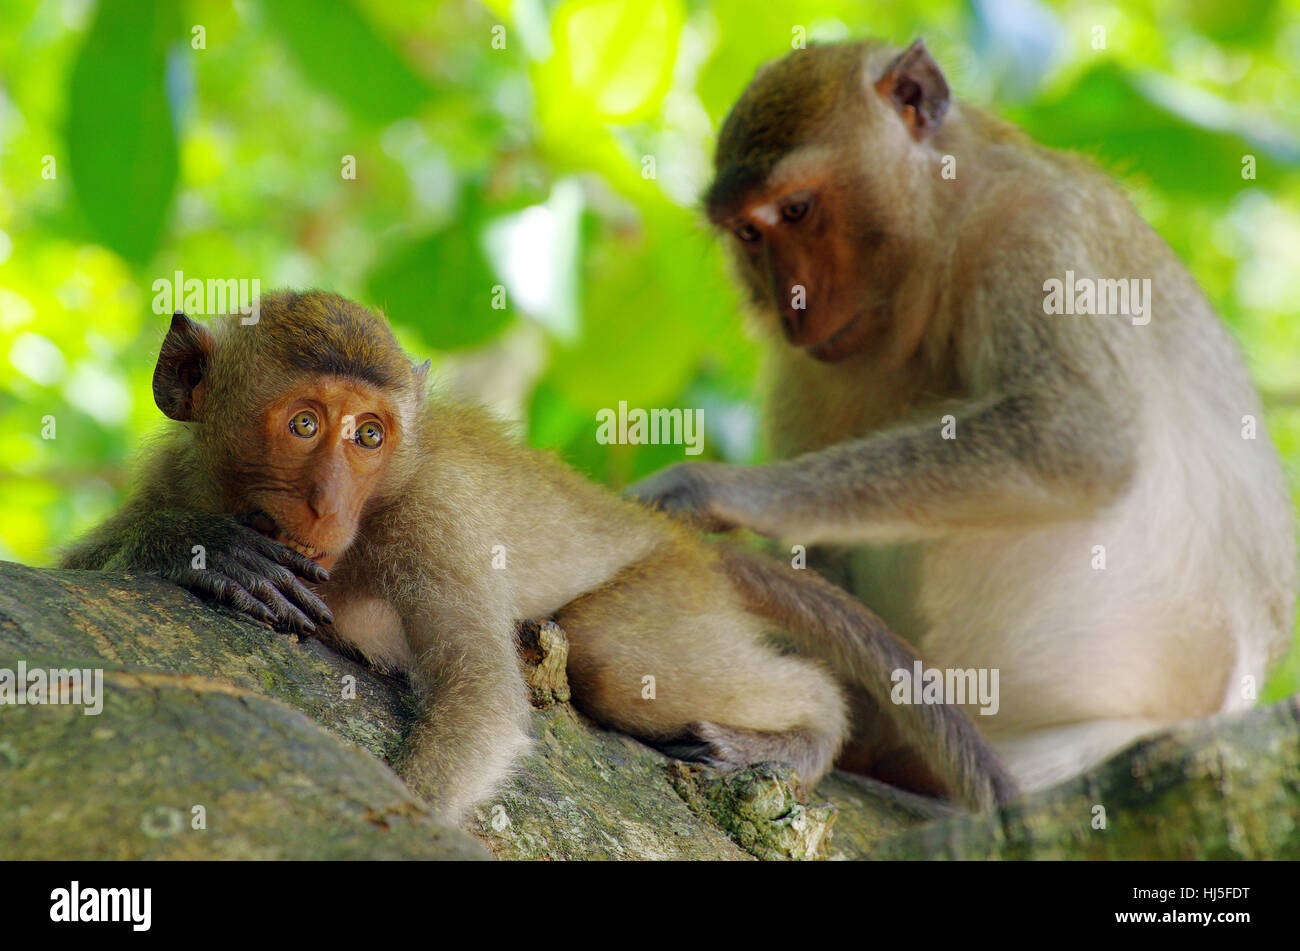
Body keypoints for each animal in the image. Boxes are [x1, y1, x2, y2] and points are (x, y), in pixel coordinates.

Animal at [61, 290, 1015, 820]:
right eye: (303, 423)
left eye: (369, 435)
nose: (328, 503)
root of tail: (682, 537)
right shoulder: (176, 469)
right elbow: (86, 561)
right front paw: (208, 552)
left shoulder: (430, 517)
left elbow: (485, 695)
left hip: (665, 592)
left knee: (620, 655)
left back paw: (804, 734)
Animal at [627, 38, 1298, 794]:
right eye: (748, 231)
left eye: (796, 210)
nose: (790, 302)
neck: (943, 236)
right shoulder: (811, 364)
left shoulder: (1034, 230)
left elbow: (1075, 439)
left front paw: (710, 491)